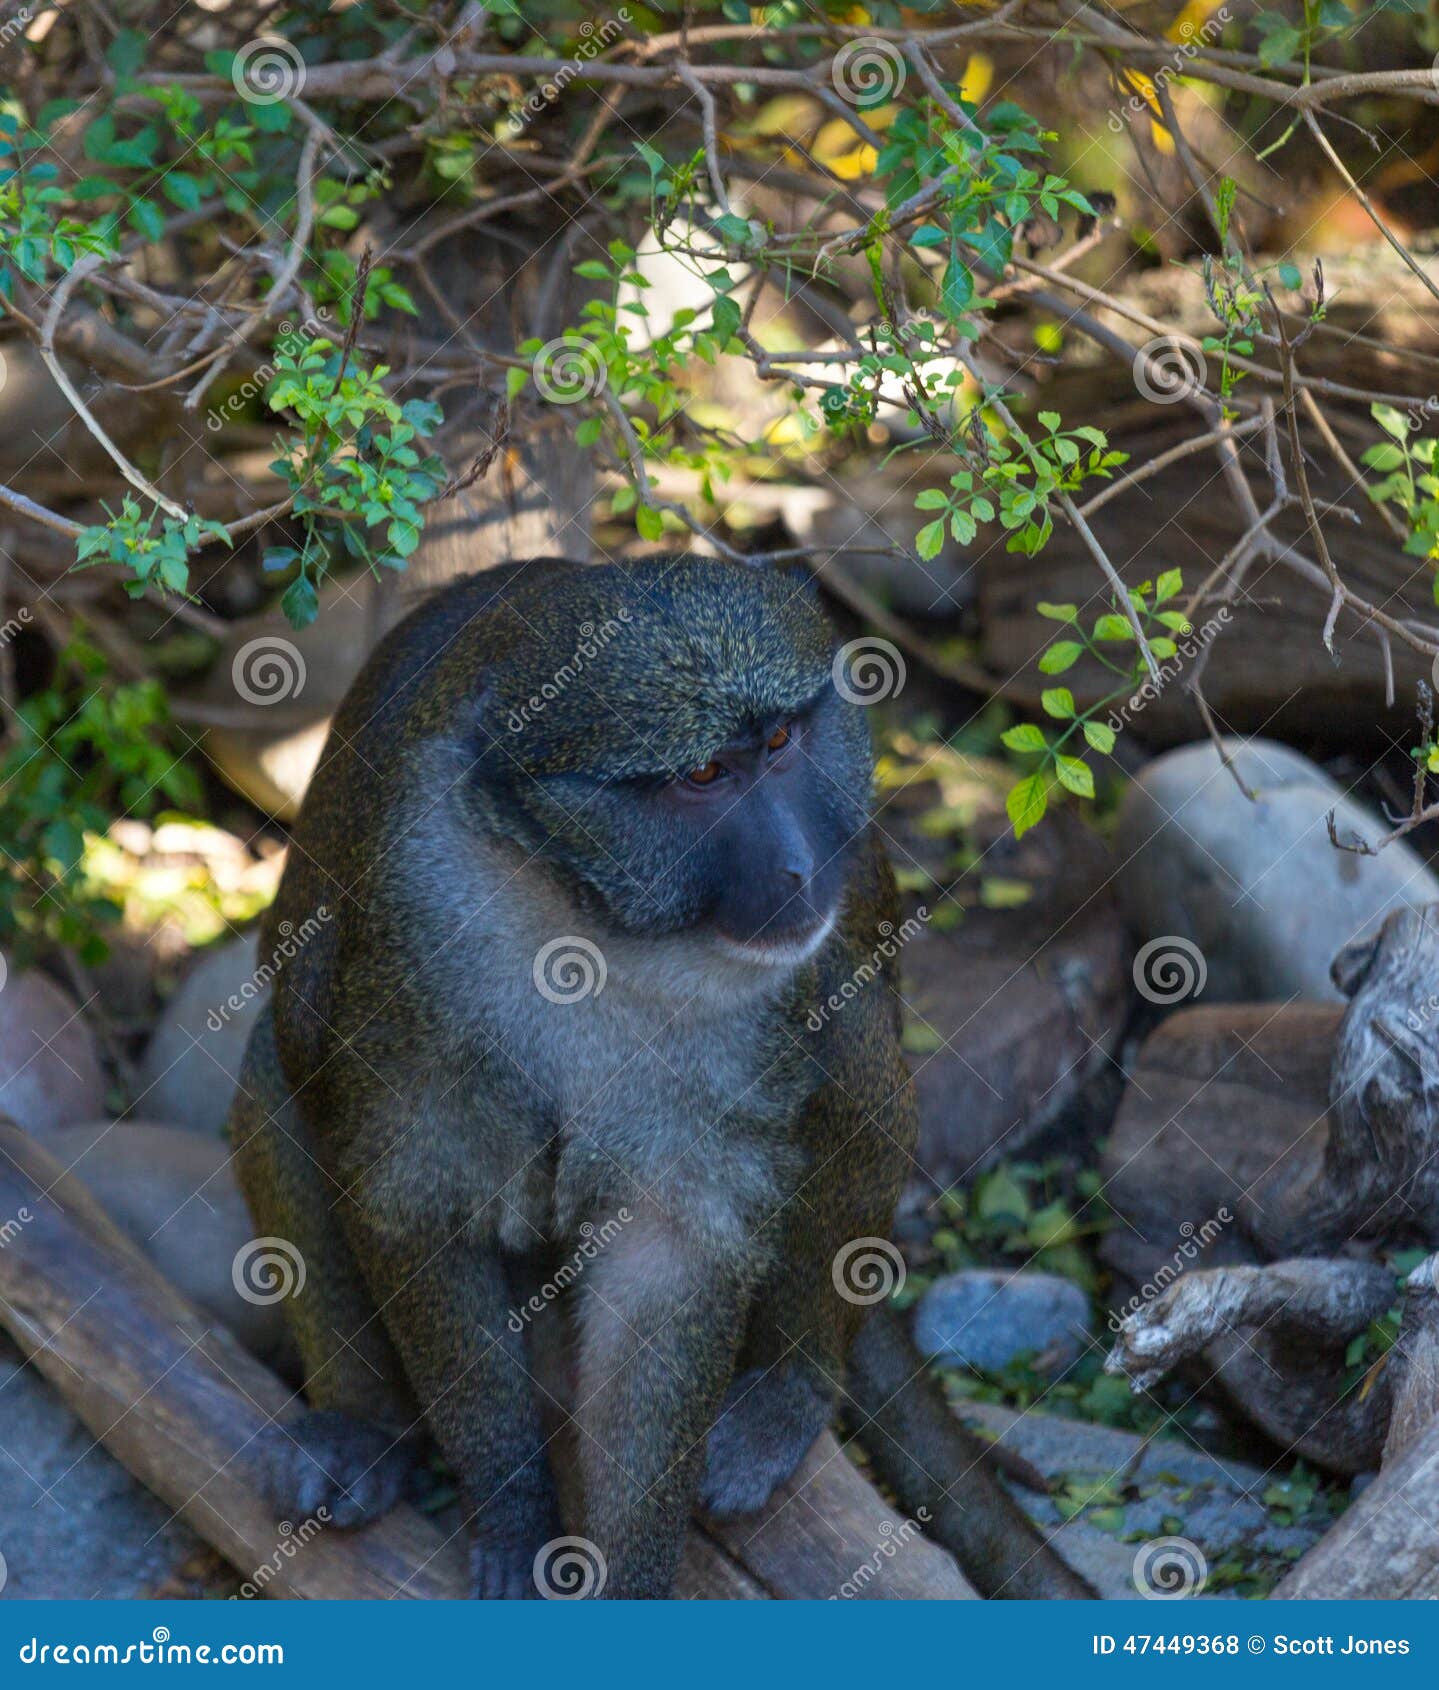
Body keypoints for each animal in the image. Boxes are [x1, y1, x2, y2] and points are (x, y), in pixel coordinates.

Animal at [228, 553, 1093, 1600]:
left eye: (779, 743)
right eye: (702, 776)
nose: (800, 867)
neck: (584, 906)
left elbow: (670, 1259)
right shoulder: (416, 904)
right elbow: (413, 1198)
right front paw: (511, 1513)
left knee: (848, 1037)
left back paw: (787, 1394)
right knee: (284, 1051)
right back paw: (365, 1424)